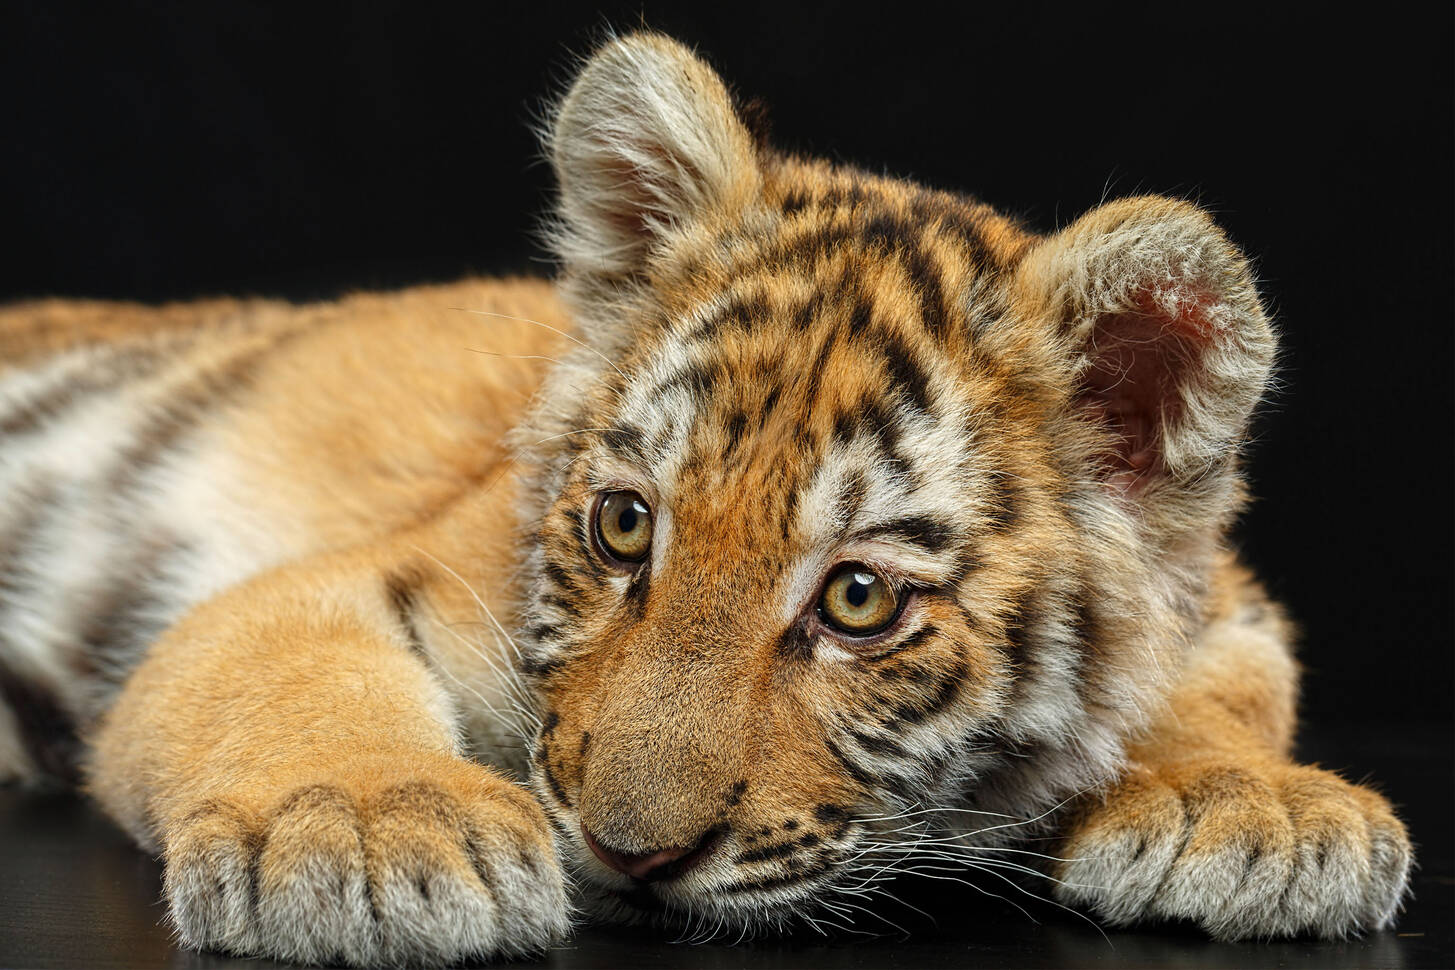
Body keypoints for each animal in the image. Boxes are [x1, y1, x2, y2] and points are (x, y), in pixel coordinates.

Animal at [0, 31, 1412, 967]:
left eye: (858, 599)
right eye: (626, 524)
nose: (627, 853)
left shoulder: (1234, 602)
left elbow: (1215, 691)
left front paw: (1257, 806)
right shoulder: (332, 583)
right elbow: (290, 672)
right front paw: (368, 826)